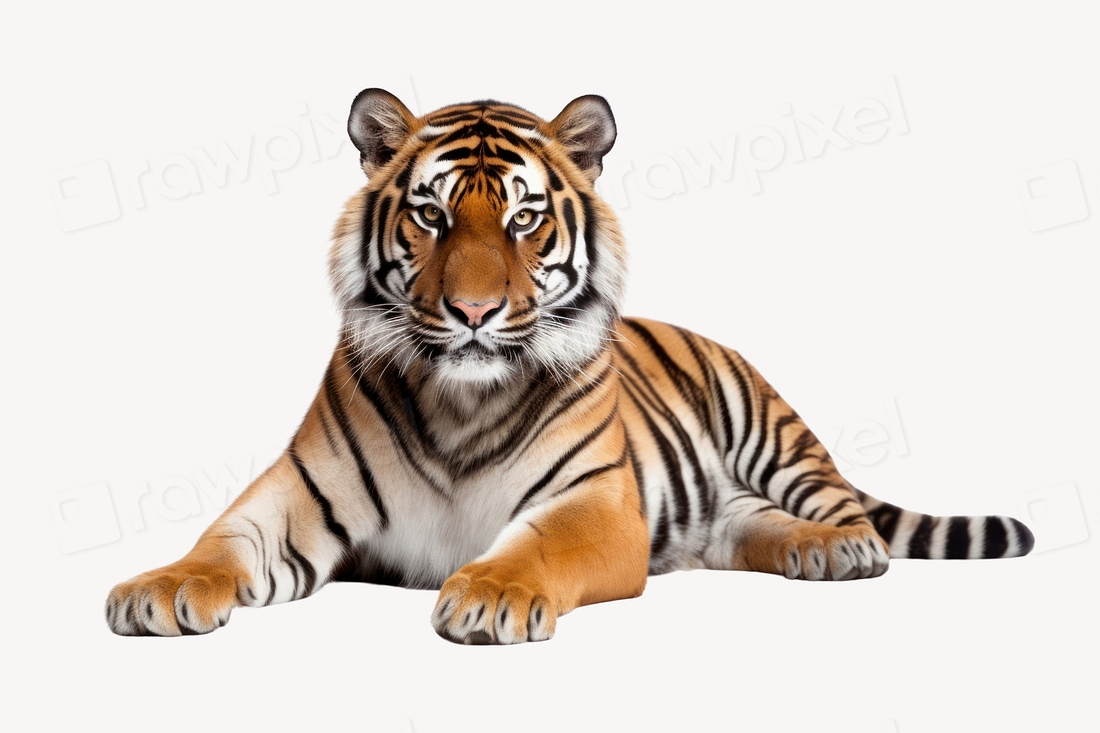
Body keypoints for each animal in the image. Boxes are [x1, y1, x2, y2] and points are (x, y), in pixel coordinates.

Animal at [105, 89, 1035, 644]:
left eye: (523, 219)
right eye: (432, 216)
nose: (473, 312)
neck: (460, 402)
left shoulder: (596, 503)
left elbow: (535, 547)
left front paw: (489, 594)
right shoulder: (296, 493)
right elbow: (221, 540)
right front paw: (159, 588)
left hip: (773, 431)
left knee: (845, 508)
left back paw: (840, 550)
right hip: (720, 509)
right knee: (744, 522)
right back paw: (803, 551)